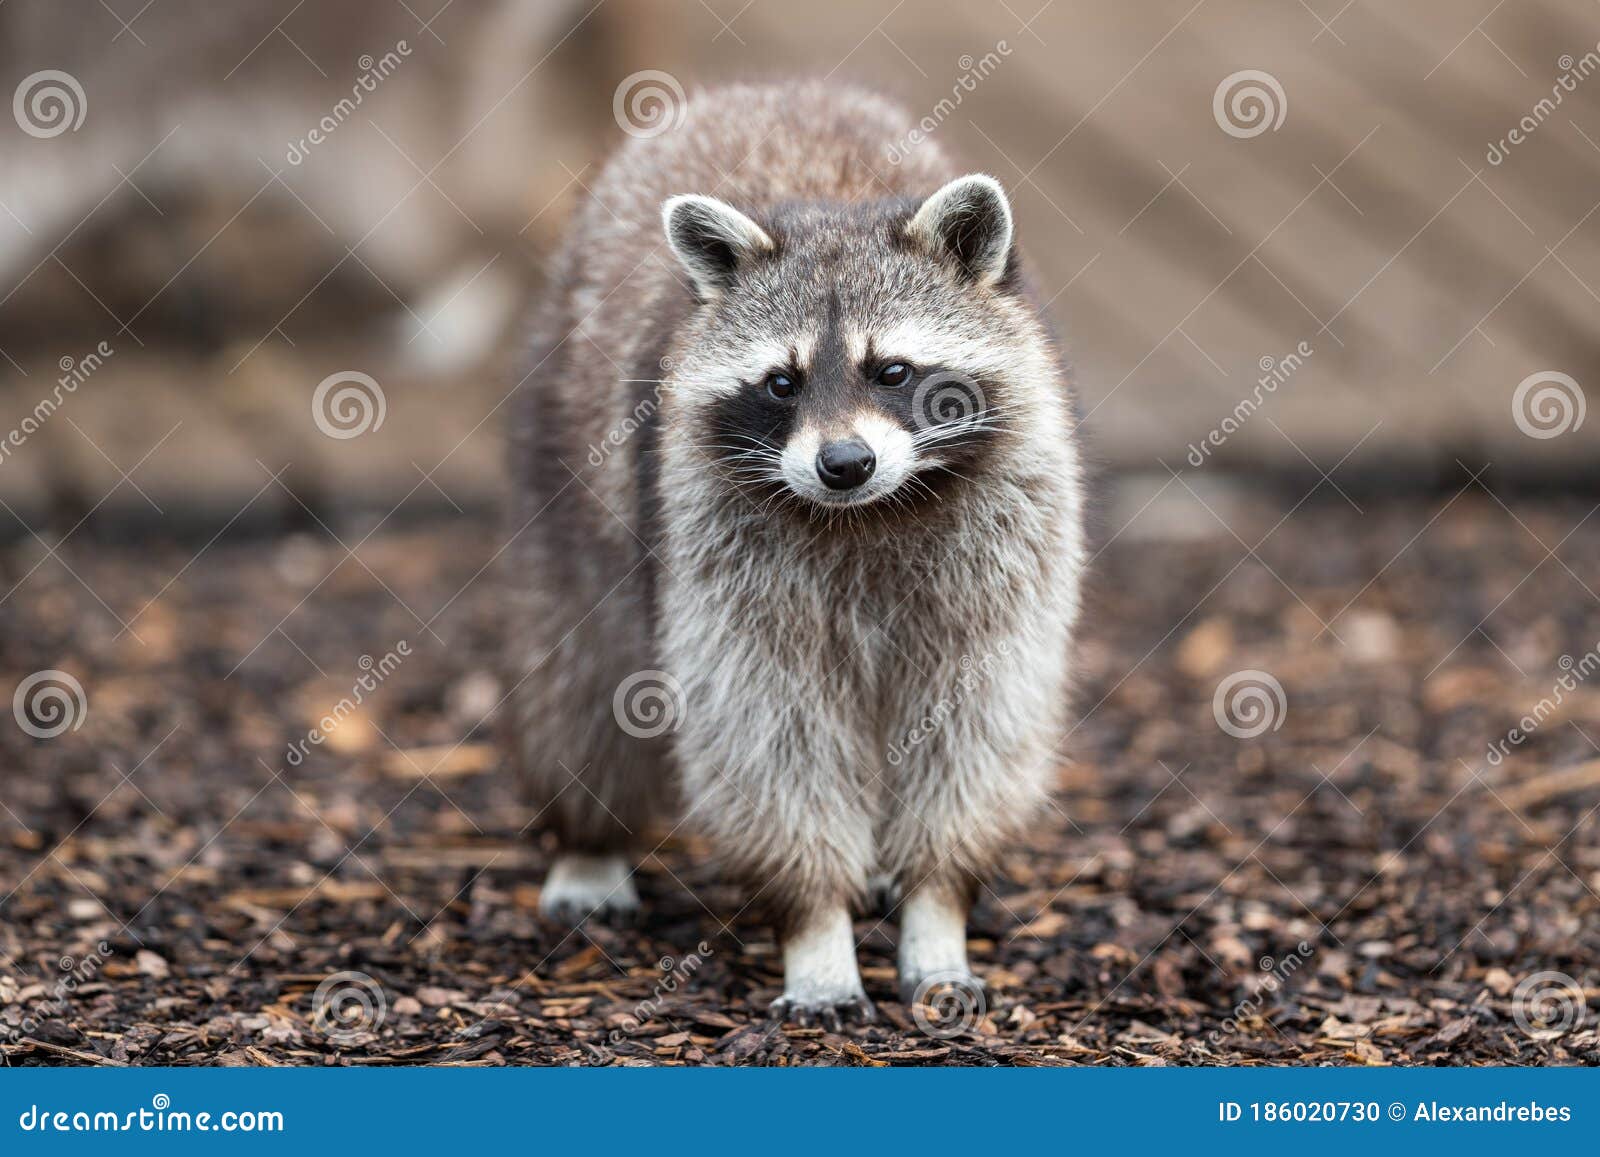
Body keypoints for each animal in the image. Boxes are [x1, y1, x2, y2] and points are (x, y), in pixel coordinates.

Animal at [506, 81, 1085, 1025]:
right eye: (782, 383)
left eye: (893, 371)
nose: (842, 464)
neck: (875, 511)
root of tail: (759, 88)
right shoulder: (716, 539)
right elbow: (772, 732)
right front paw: (815, 928)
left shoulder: (1012, 528)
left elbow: (976, 721)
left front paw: (937, 909)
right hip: (560, 453)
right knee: (581, 668)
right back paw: (589, 837)